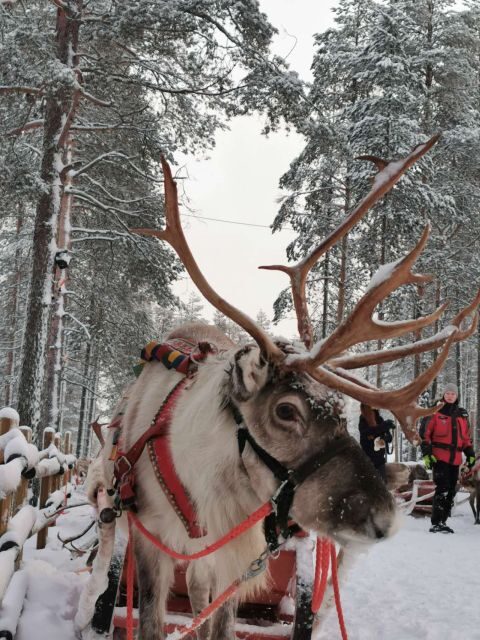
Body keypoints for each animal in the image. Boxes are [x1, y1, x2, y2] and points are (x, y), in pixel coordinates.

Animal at [84, 134, 479, 640]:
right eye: (286, 410)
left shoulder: (234, 553)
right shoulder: (149, 538)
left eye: (342, 410)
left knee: (197, 591)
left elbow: (222, 623)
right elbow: (150, 619)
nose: (384, 519)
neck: (202, 494)